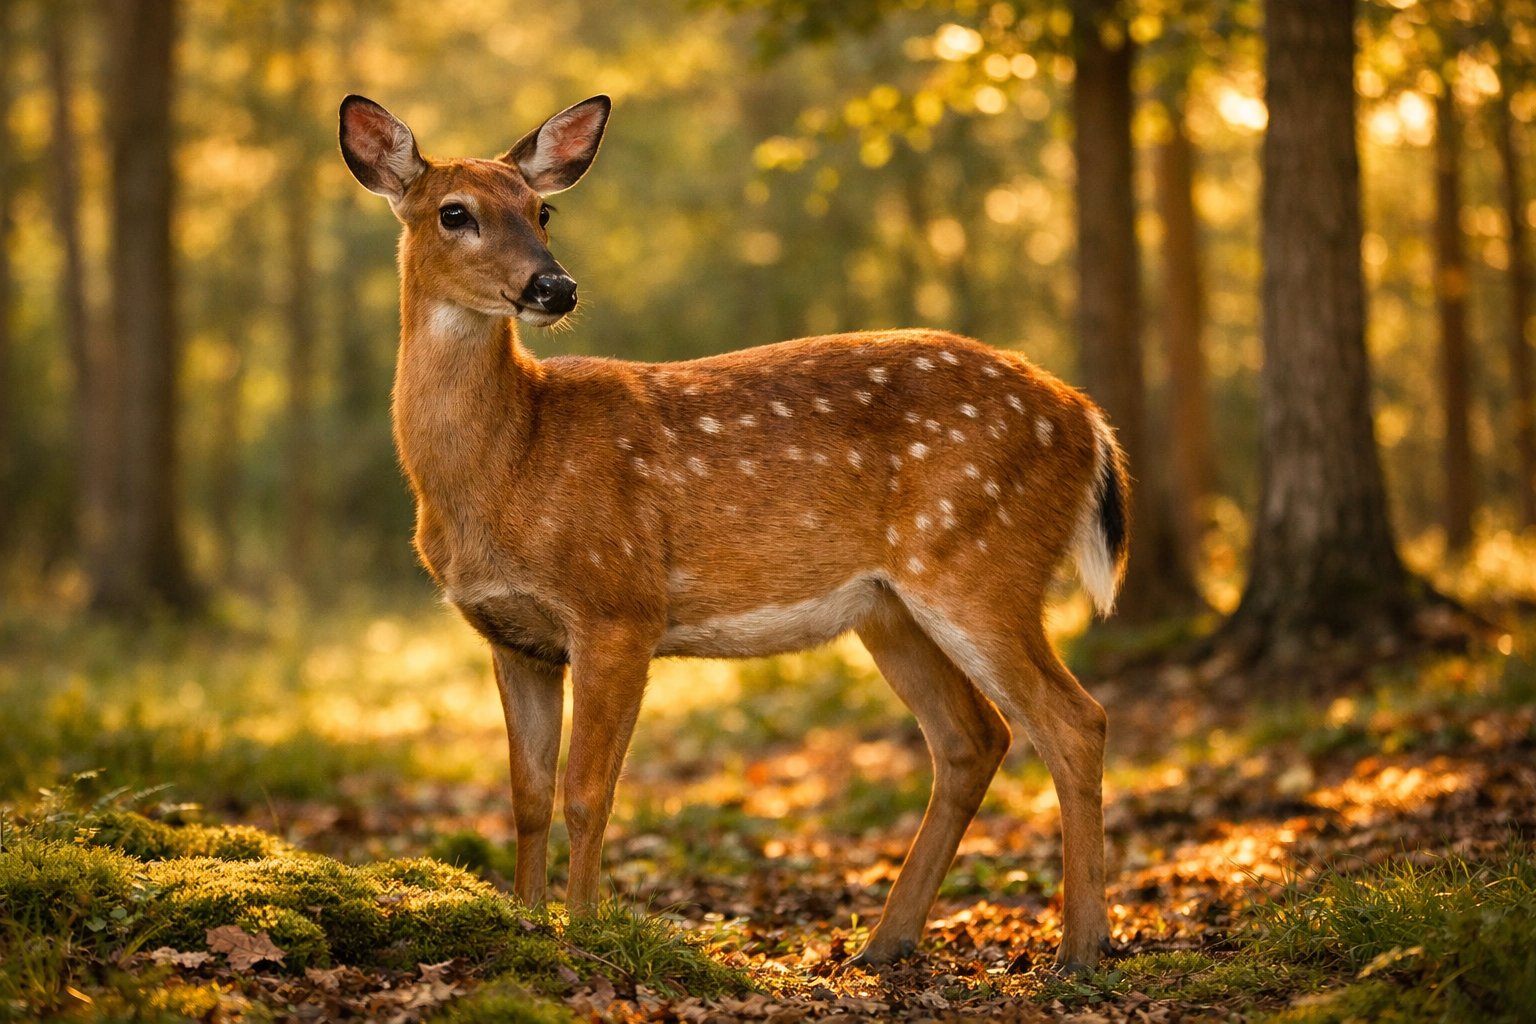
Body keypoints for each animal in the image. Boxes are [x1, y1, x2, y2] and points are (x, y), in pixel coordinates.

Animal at [338, 92, 1129, 970]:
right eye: (455, 212)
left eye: (542, 210)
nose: (555, 286)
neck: (507, 465)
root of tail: (1088, 421)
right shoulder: (513, 636)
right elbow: (527, 795)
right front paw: (526, 924)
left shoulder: (618, 603)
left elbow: (588, 793)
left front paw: (583, 935)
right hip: (891, 606)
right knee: (972, 740)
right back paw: (882, 943)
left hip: (981, 560)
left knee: (1074, 721)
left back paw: (1080, 947)